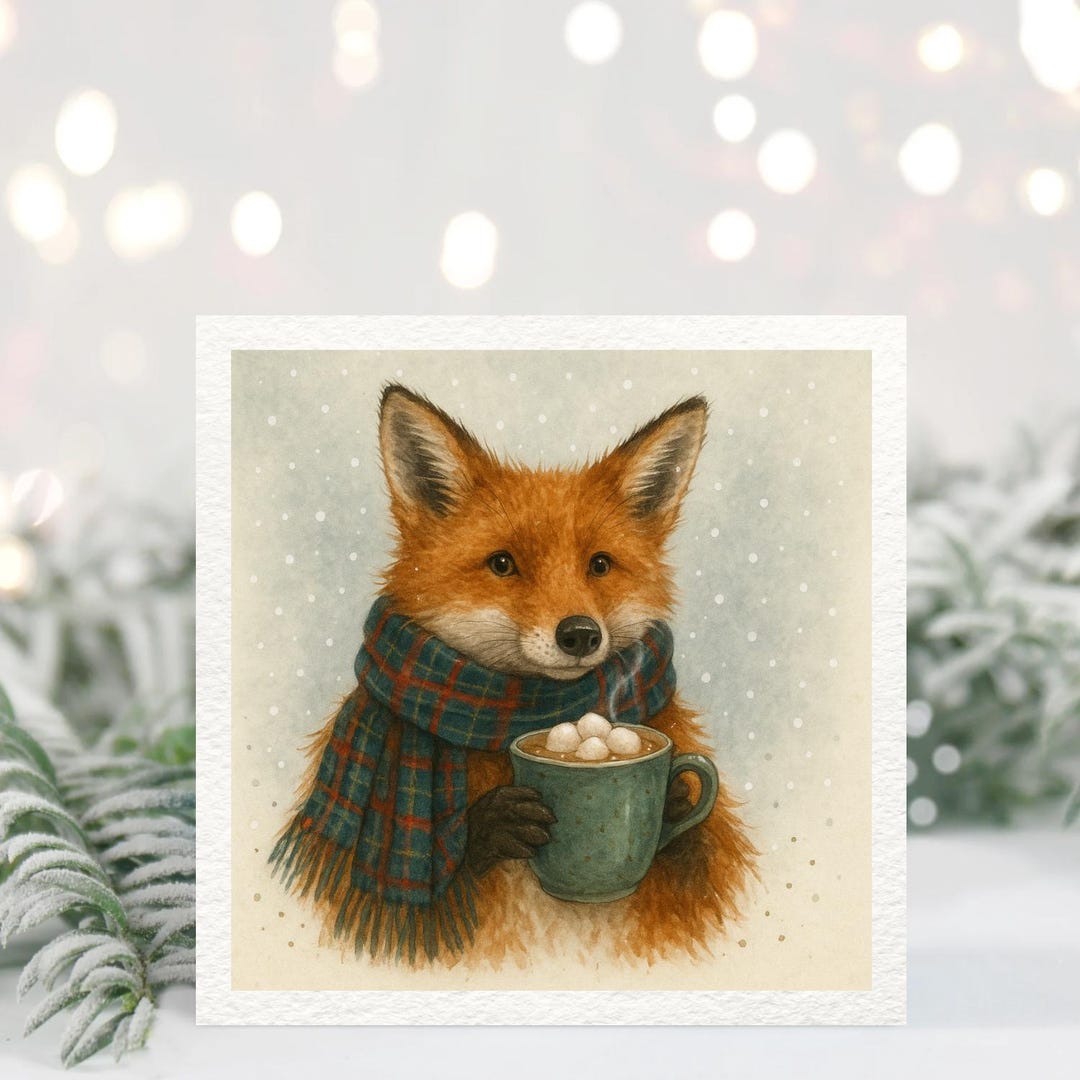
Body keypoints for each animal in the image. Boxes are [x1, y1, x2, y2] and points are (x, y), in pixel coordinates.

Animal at [276, 383, 756, 967]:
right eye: (503, 564)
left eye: (599, 565)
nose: (580, 634)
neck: (514, 716)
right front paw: (490, 828)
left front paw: (674, 808)